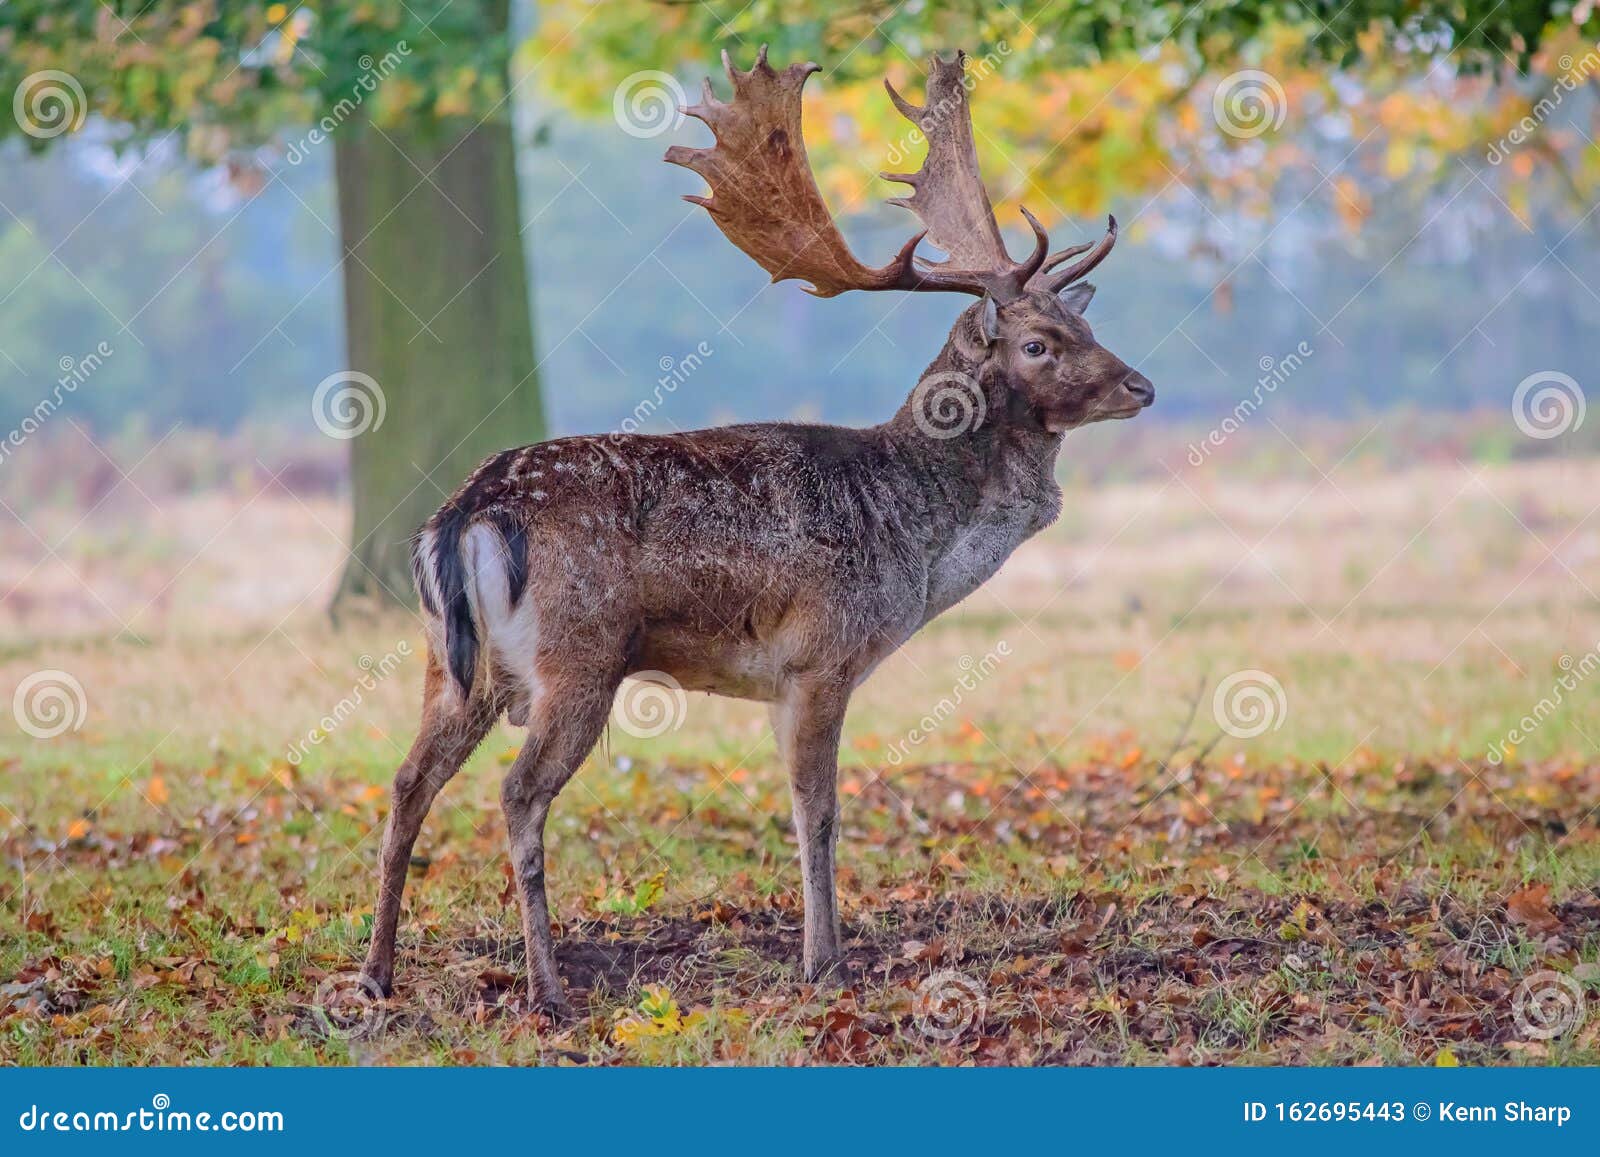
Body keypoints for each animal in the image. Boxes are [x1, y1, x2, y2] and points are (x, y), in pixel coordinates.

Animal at [359, 47, 1154, 1018]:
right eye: (1038, 343)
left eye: (1085, 321)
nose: (1142, 387)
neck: (916, 537)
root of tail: (469, 509)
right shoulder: (821, 654)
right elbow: (820, 808)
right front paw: (826, 962)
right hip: (580, 653)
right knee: (517, 792)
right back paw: (546, 989)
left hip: (450, 662)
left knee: (407, 781)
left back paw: (376, 973)